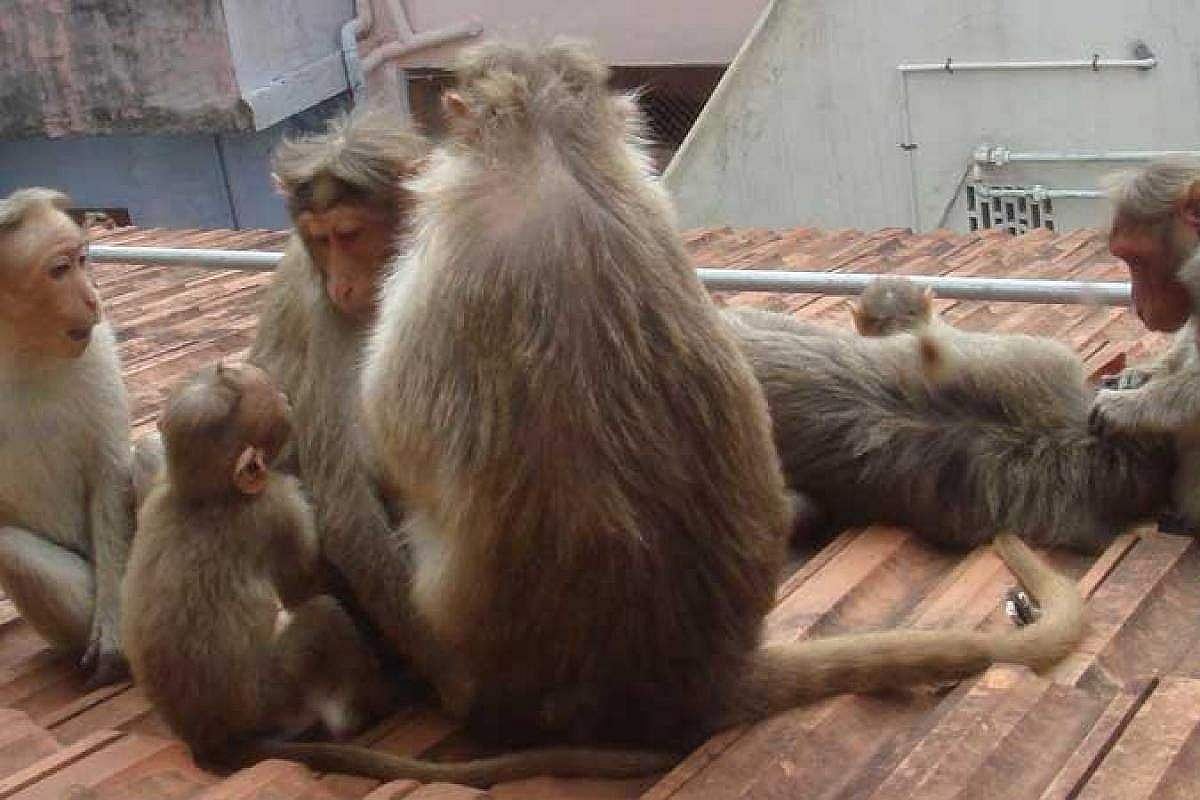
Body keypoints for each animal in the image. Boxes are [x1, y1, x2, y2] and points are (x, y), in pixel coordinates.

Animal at [0, 187, 134, 687]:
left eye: (82, 260)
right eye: (59, 271)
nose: (94, 299)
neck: (20, 349)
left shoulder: (96, 348)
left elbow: (109, 471)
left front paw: (113, 635)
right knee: (10, 547)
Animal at [123, 362, 671, 786]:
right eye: (274, 399)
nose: (286, 395)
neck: (201, 497)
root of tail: (213, 737)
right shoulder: (278, 504)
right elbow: (302, 581)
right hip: (273, 697)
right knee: (322, 617)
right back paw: (370, 706)